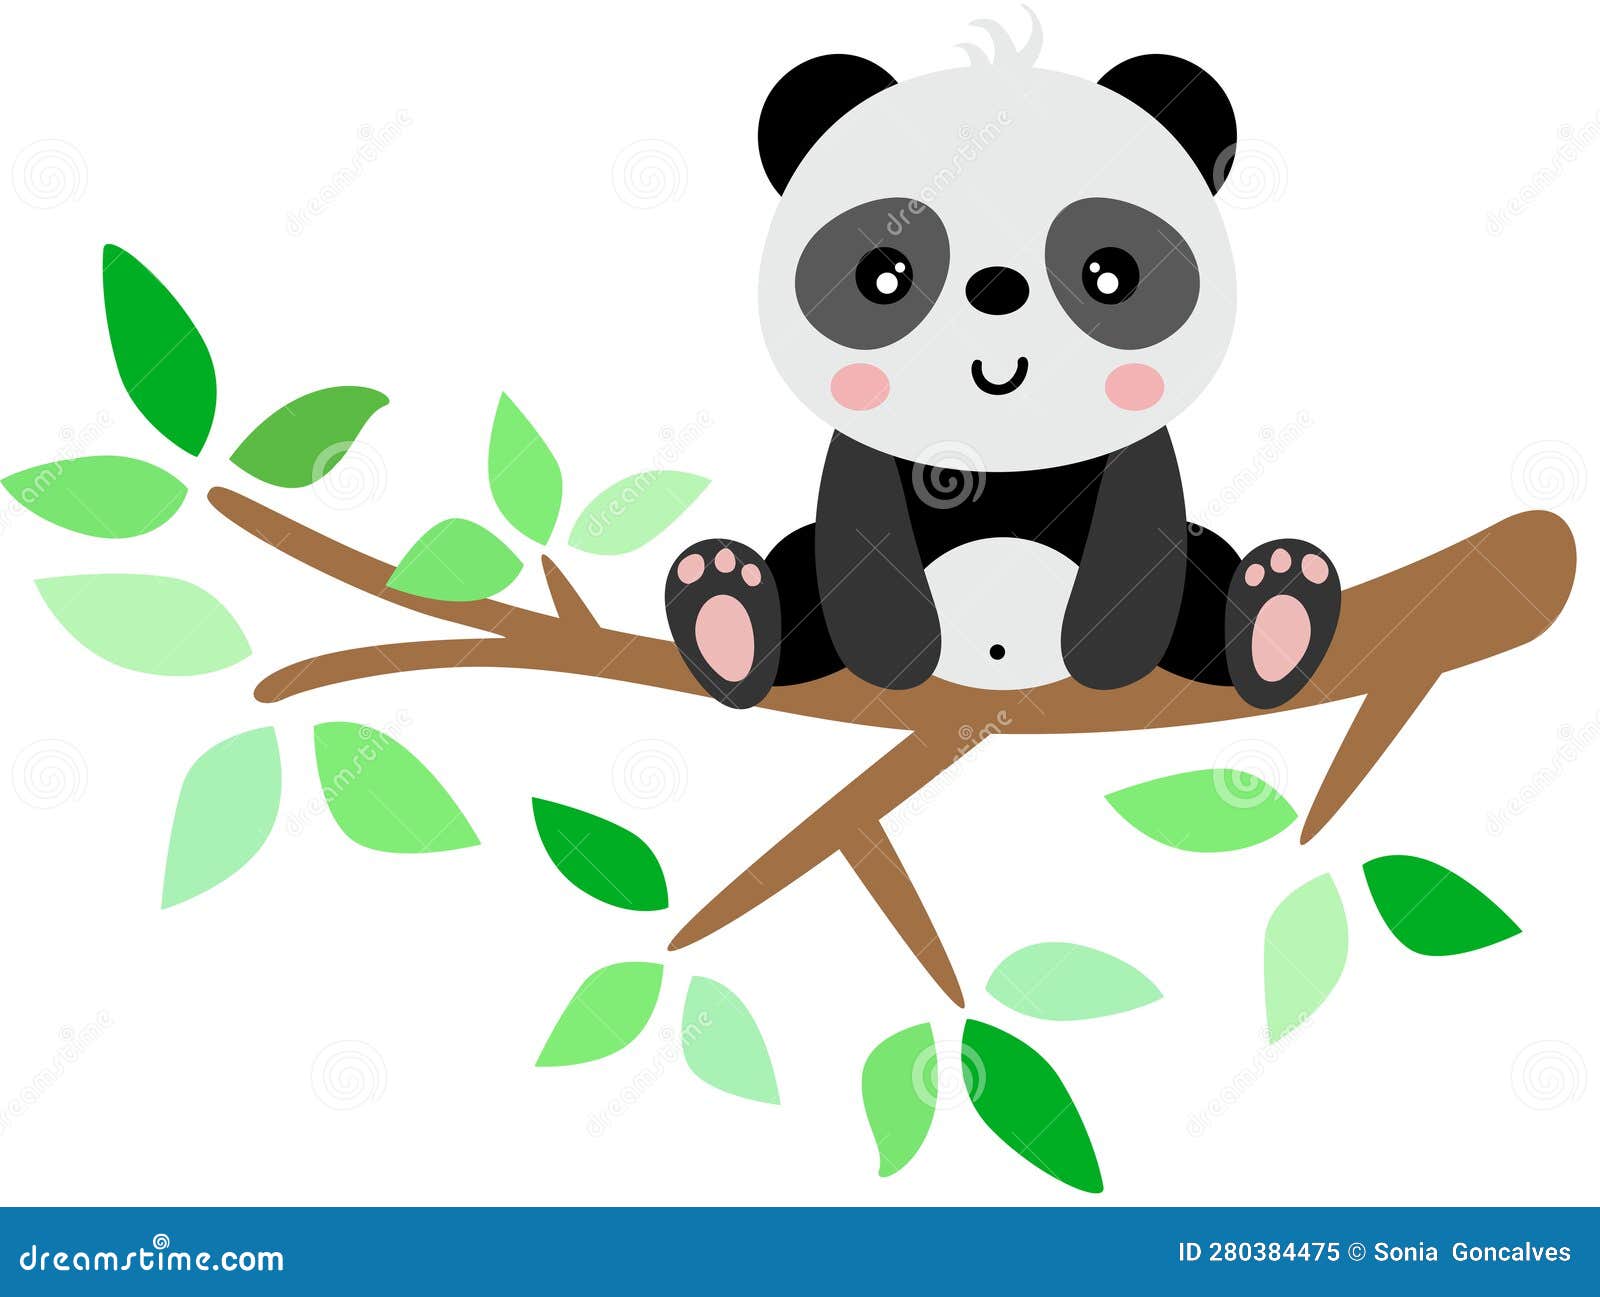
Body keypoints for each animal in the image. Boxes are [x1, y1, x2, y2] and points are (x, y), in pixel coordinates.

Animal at [664, 16, 1340, 710]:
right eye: (883, 276)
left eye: (1111, 274)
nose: (996, 286)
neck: (1001, 459)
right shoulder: (863, 466)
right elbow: (860, 548)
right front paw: (895, 661)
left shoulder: (1138, 464)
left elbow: (1143, 546)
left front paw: (1106, 658)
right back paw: (724, 609)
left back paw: (1283, 608)